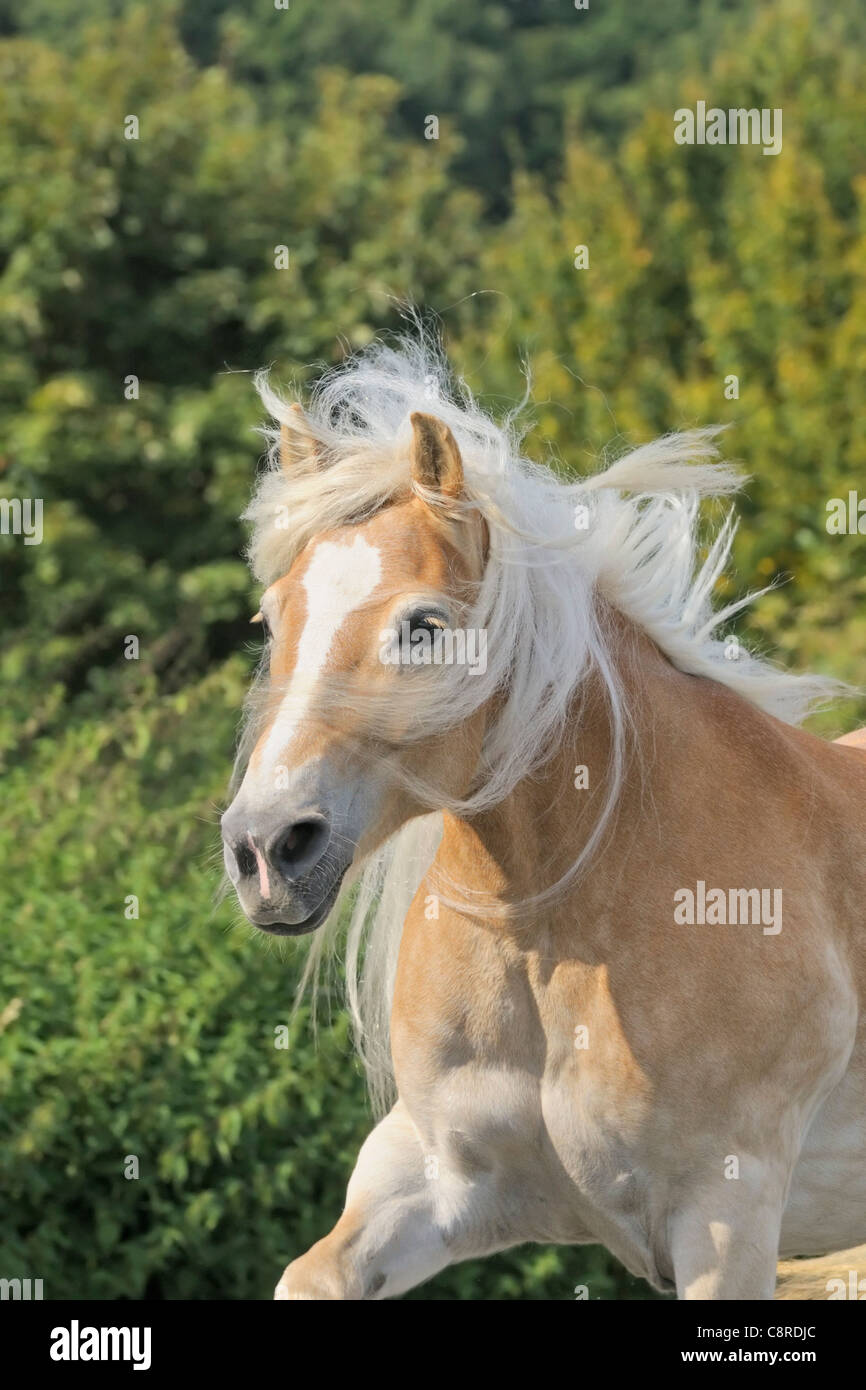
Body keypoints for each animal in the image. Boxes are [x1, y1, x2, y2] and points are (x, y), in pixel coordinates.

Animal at [221, 337, 866, 1300]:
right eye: (271, 620)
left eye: (424, 627)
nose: (265, 848)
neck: (555, 929)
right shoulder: (431, 1179)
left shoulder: (727, 1220)